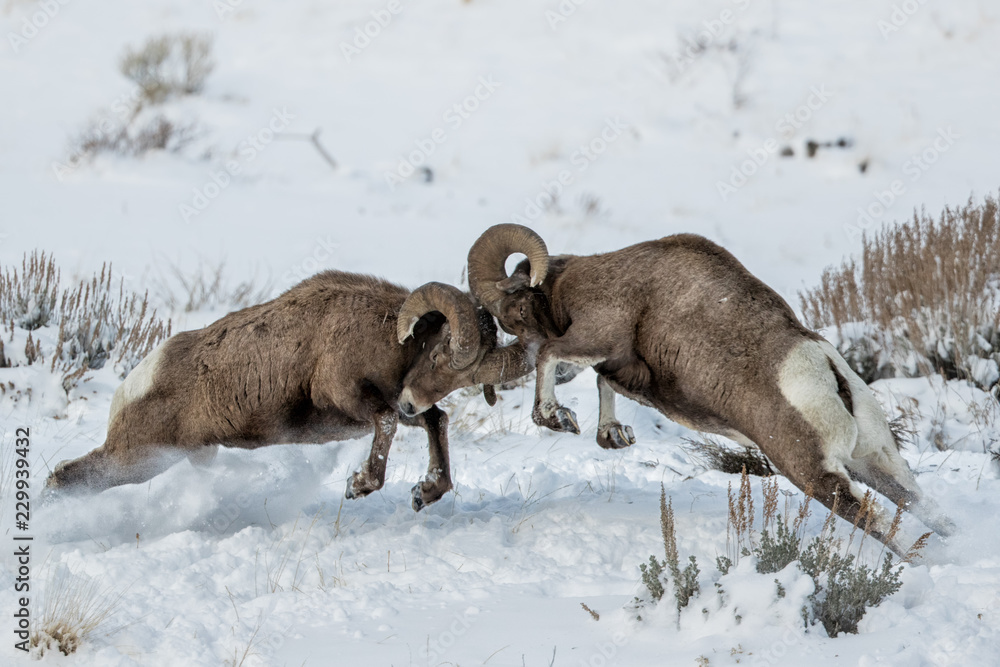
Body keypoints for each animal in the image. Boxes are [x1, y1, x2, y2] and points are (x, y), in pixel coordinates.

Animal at [44, 271, 532, 510]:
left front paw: (425, 493)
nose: (414, 399)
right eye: (439, 353)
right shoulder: (353, 398)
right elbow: (388, 422)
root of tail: (137, 380)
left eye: (468, 378)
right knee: (66, 478)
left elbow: (435, 421)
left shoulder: (400, 407)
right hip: (138, 458)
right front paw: (359, 486)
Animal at [463, 224, 955, 556]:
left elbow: (553, 354)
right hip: (876, 465)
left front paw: (556, 416)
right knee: (926, 511)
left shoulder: (600, 338)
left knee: (879, 525)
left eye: (514, 316)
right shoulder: (627, 370)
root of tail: (827, 371)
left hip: (814, 475)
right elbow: (602, 380)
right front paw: (612, 436)